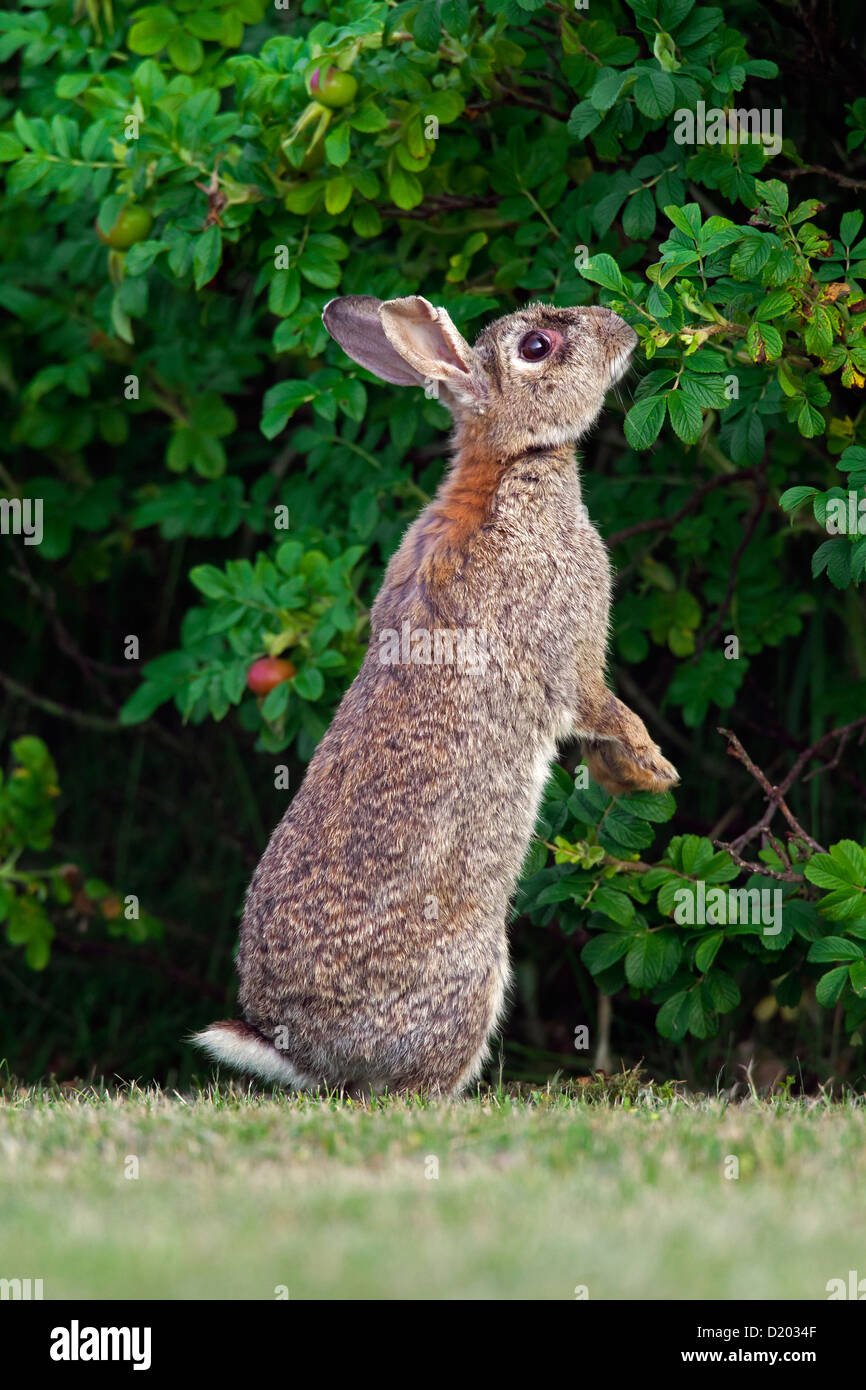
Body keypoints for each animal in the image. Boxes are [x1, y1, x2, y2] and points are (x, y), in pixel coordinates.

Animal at [193, 293, 681, 1095]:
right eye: (537, 346)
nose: (623, 327)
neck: (512, 462)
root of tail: (297, 1048)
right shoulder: (572, 657)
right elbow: (602, 705)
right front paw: (656, 768)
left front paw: (630, 780)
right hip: (476, 973)